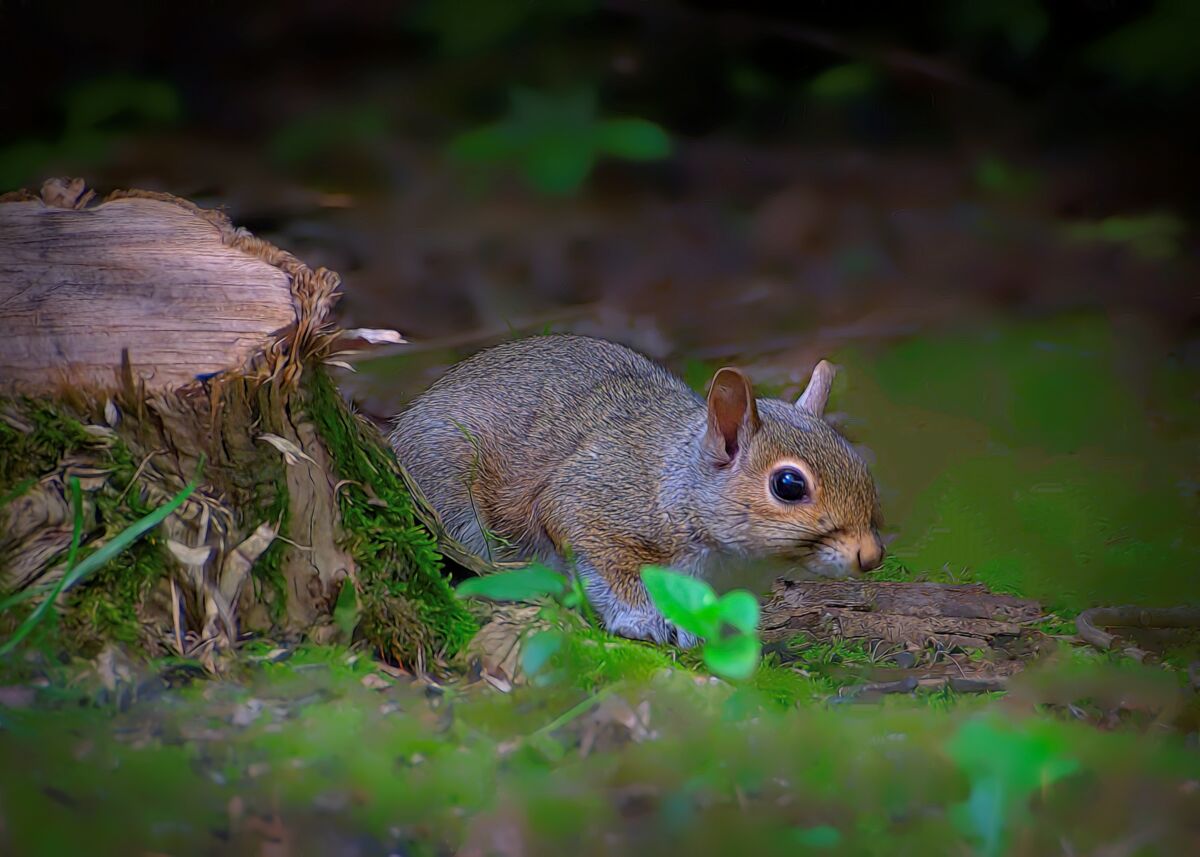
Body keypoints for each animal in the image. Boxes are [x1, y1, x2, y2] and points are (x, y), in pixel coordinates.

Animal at [390, 335, 883, 646]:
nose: (871, 555)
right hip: (449, 484)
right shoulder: (591, 499)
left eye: (859, 462)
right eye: (788, 485)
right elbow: (608, 567)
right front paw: (644, 620)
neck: (674, 483)